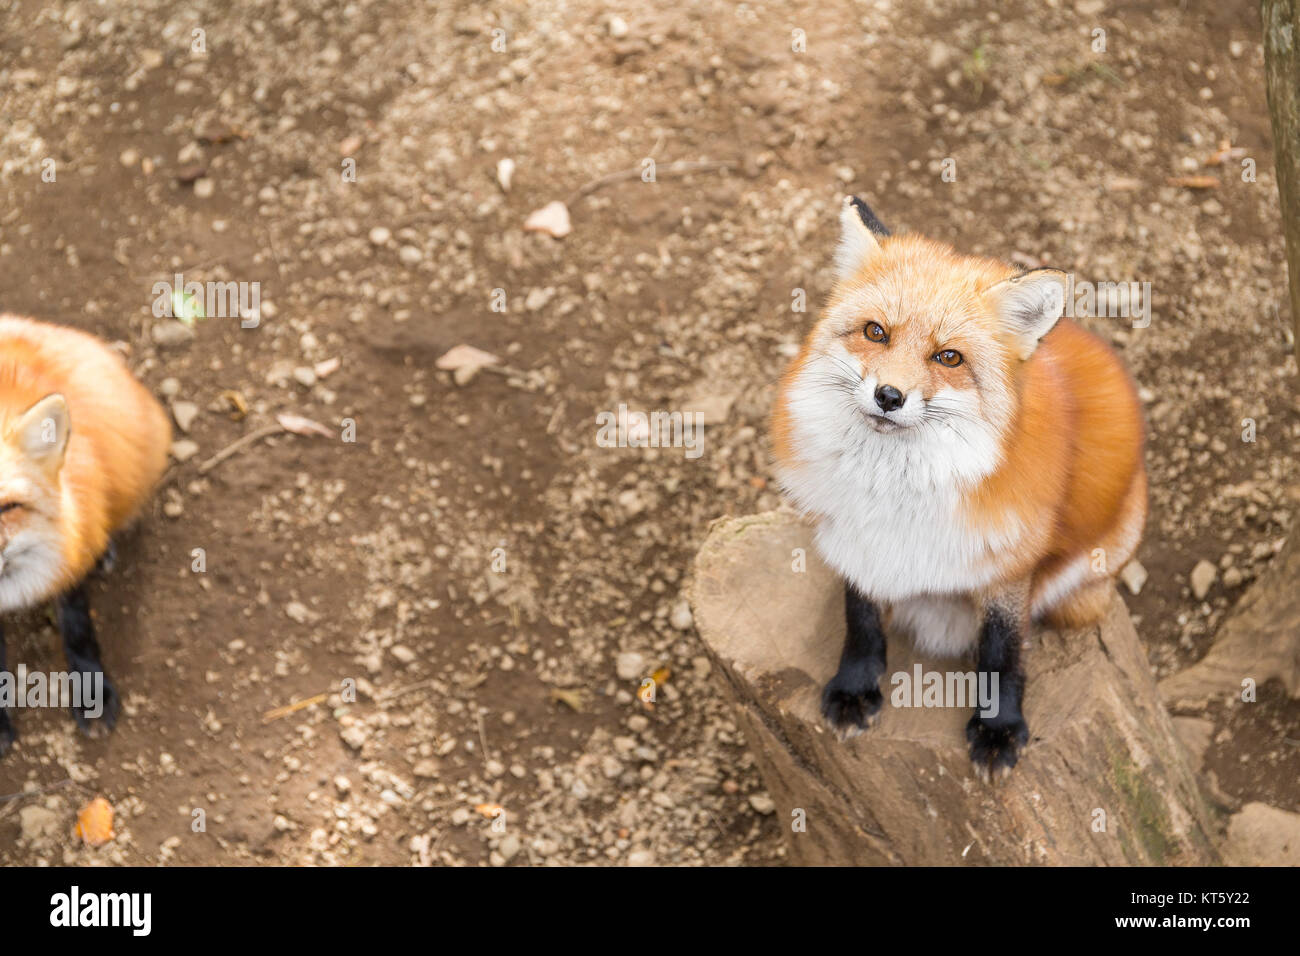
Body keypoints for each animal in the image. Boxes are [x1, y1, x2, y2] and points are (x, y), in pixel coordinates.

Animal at [771, 197, 1147, 780]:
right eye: (875, 332)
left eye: (949, 357)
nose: (888, 396)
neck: (895, 490)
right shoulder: (852, 534)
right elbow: (859, 617)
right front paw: (855, 686)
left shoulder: (1007, 561)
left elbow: (1002, 649)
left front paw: (997, 729)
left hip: (1088, 584)